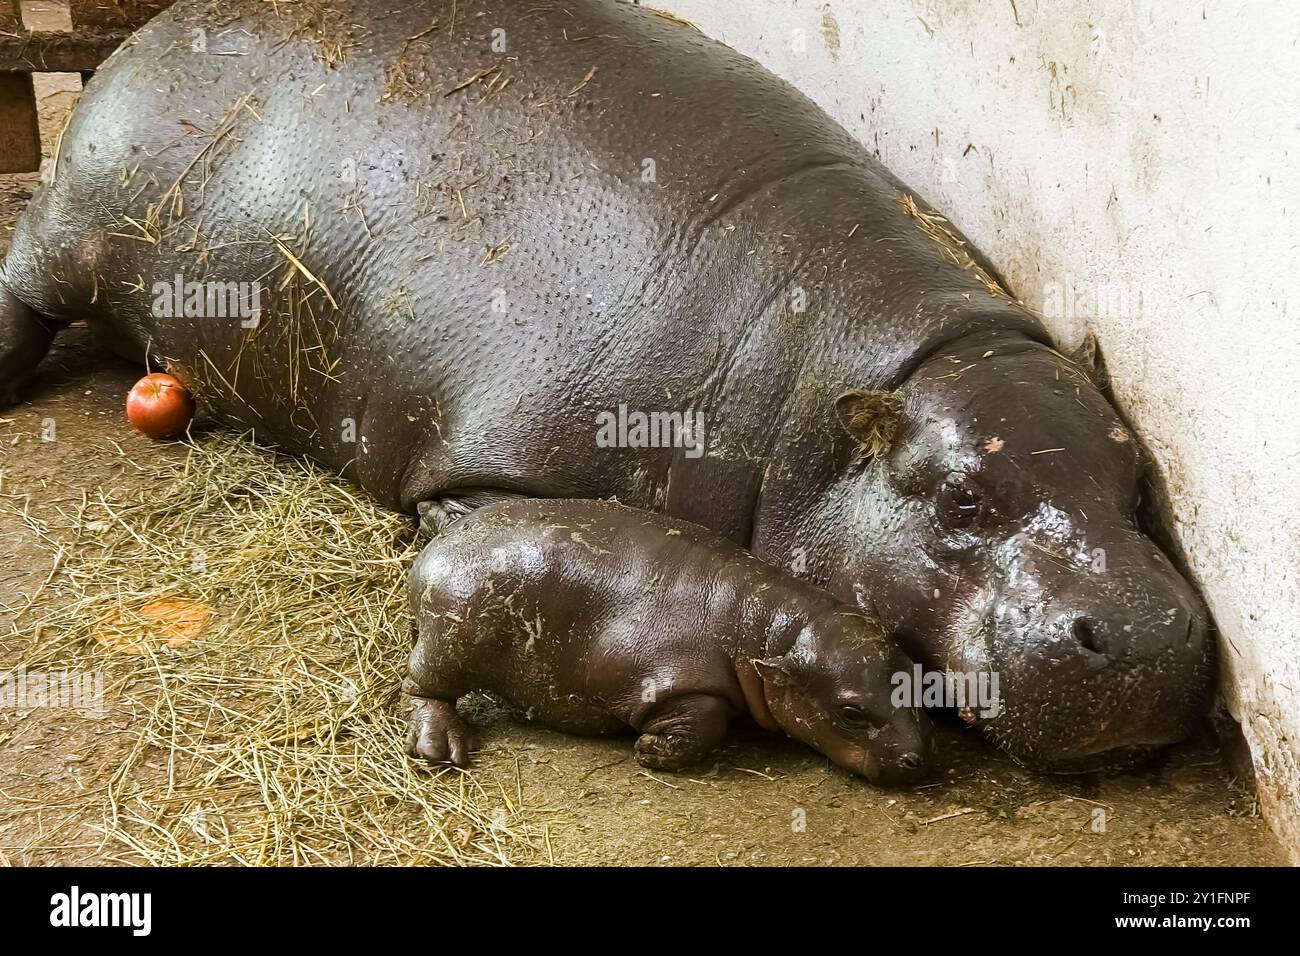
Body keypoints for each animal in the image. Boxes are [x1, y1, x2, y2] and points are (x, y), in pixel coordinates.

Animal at [404, 498, 933, 785]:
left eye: (915, 675)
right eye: (851, 713)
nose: (920, 758)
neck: (771, 629)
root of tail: (445, 536)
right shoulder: (670, 680)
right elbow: (705, 721)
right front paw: (649, 750)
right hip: (452, 638)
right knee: (424, 690)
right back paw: (441, 750)